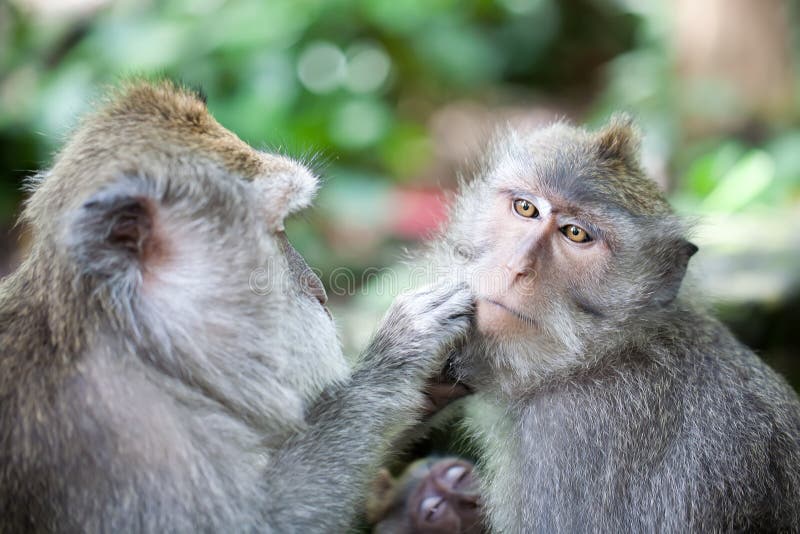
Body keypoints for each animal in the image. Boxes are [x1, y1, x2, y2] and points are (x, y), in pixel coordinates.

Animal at [0, 79, 475, 533]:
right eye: (277, 229)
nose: (319, 291)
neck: (132, 342)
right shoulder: (126, 437)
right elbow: (263, 524)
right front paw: (398, 354)